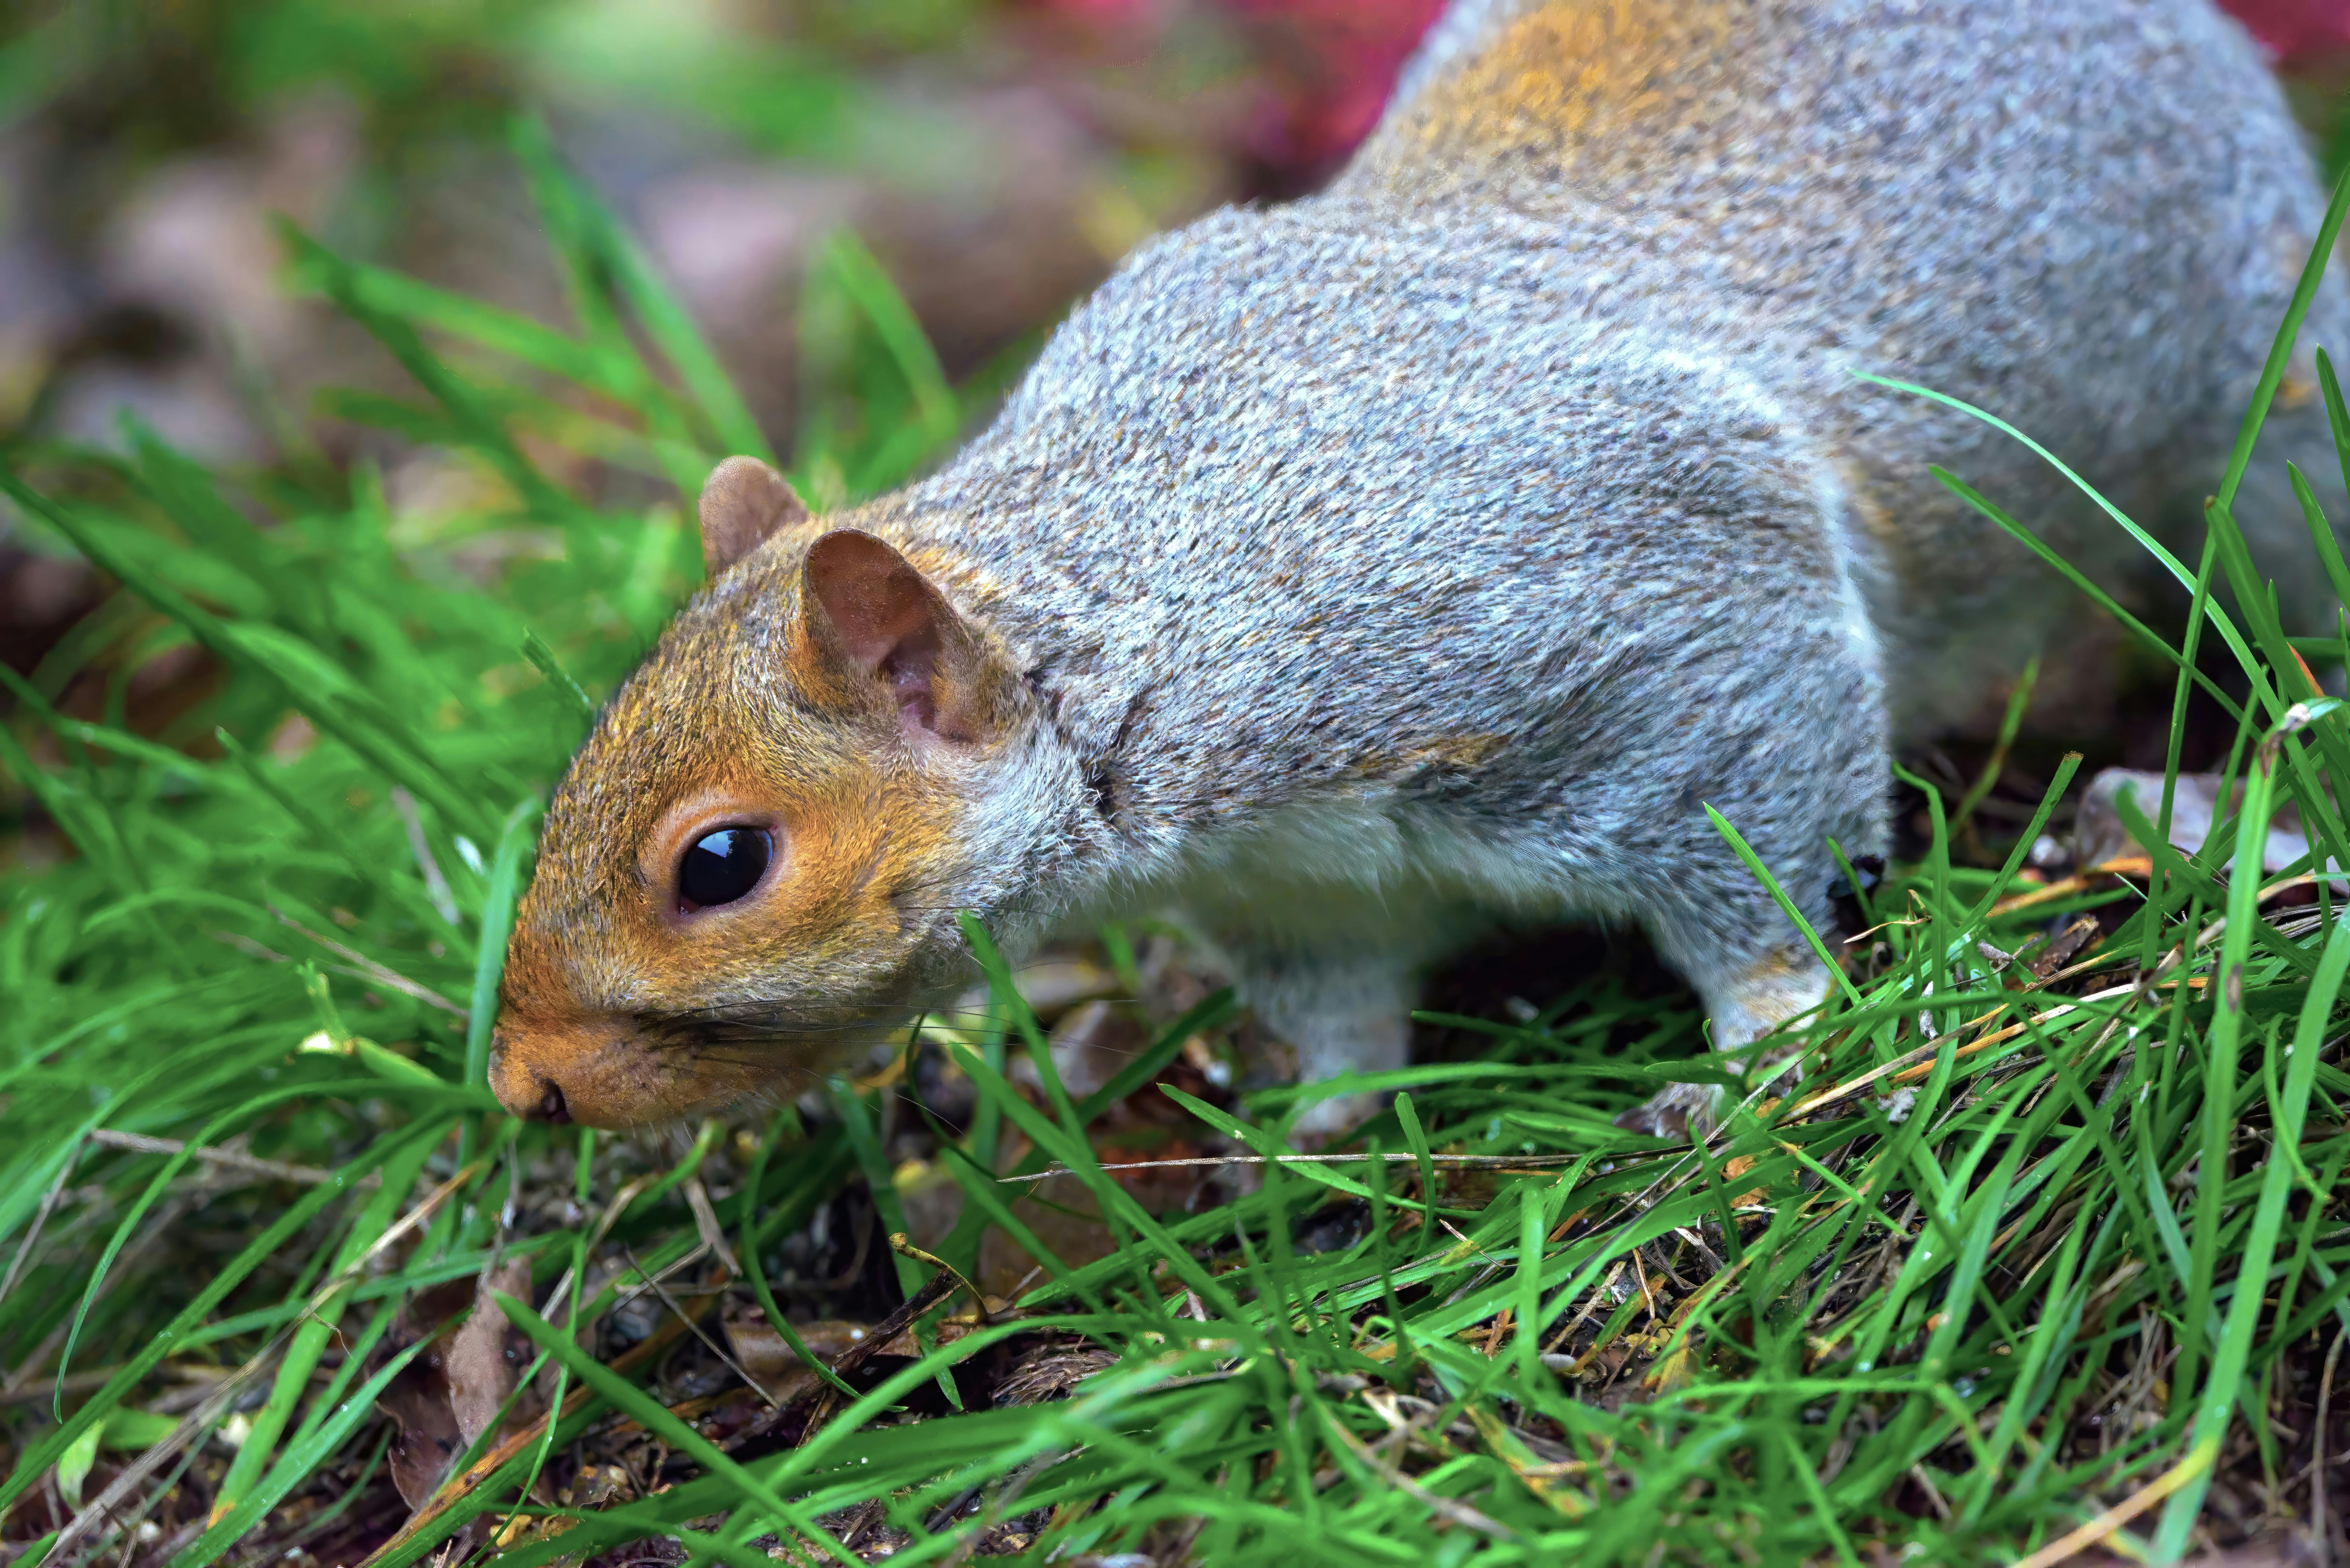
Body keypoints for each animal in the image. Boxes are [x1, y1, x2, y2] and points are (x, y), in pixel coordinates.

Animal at [489, 0, 2350, 1140]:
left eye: (720, 862)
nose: (521, 1091)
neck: (1167, 587)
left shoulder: (1634, 621)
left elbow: (1753, 835)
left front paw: (1774, 1038)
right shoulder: (1298, 894)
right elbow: (1344, 1013)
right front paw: (1305, 1126)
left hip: (2271, 412)